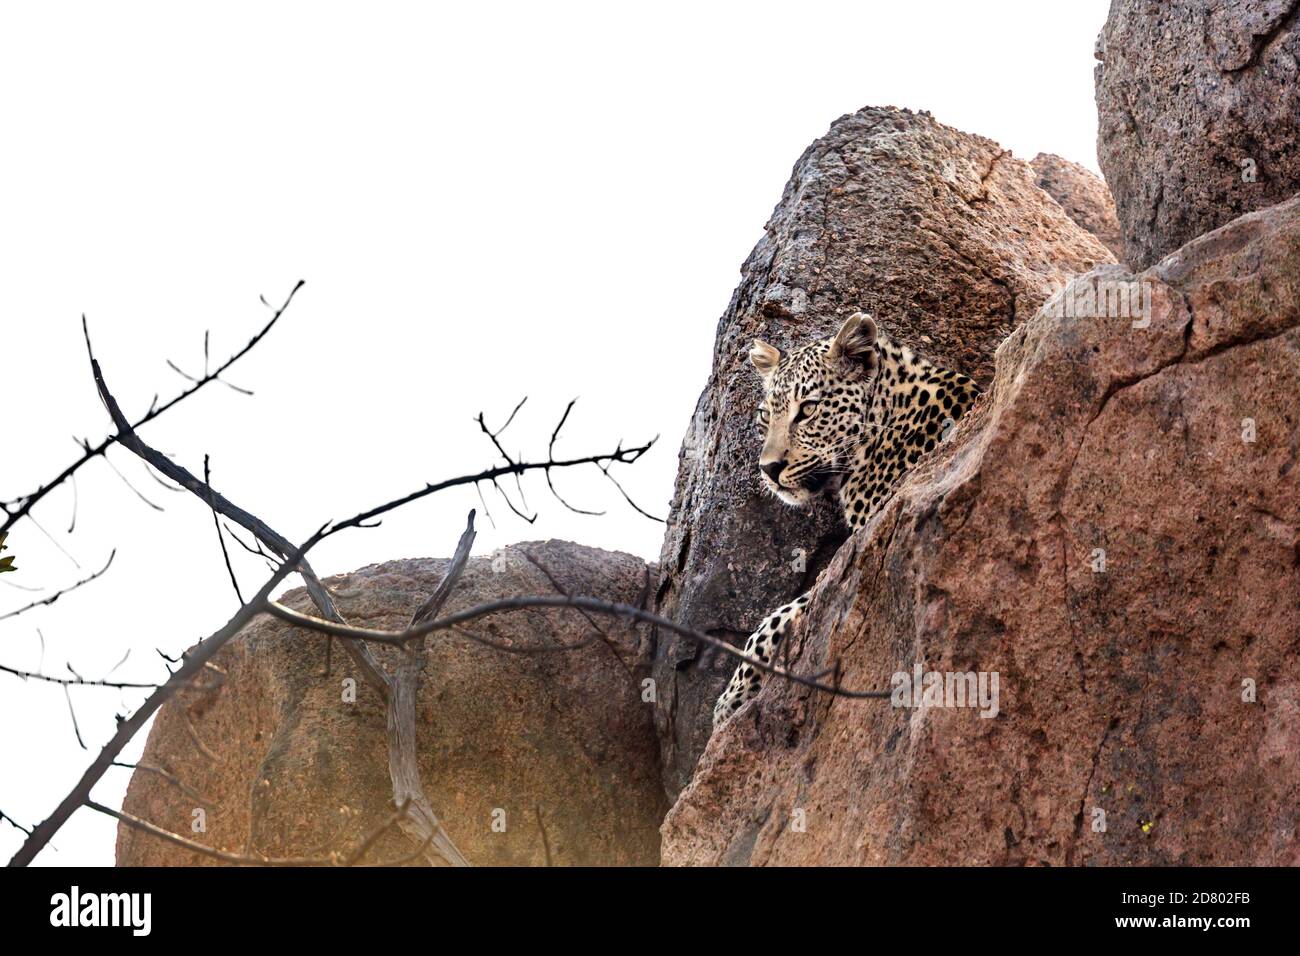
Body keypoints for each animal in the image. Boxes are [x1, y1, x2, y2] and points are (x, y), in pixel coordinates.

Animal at [711, 311, 980, 731]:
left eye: (807, 409)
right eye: (765, 415)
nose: (768, 469)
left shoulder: (861, 548)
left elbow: (774, 618)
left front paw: (731, 696)